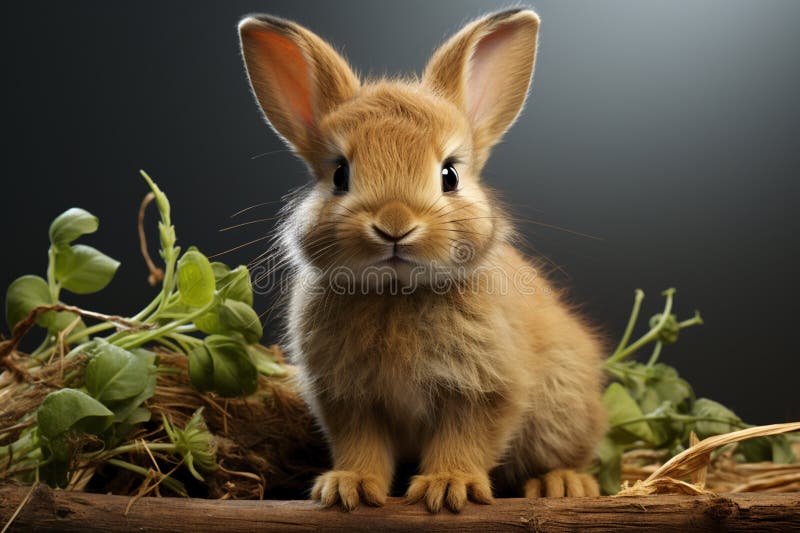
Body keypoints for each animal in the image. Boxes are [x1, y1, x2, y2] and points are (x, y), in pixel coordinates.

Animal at [238, 8, 606, 513]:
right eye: (339, 175)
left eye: (449, 174)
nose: (394, 224)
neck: (398, 291)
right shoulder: (347, 399)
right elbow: (362, 445)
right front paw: (349, 486)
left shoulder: (483, 390)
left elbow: (464, 439)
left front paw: (449, 486)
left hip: (562, 410)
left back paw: (563, 484)